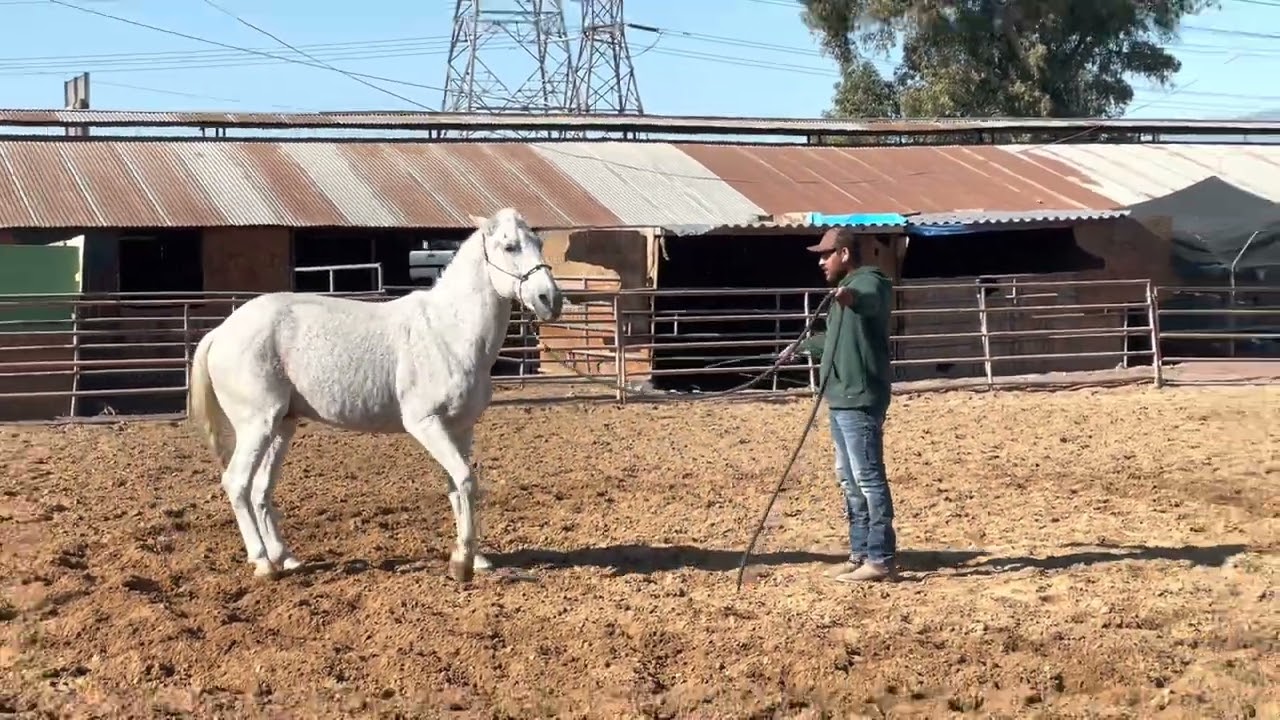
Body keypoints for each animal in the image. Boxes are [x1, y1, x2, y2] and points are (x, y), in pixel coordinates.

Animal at [185, 208, 564, 583]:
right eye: (509, 246)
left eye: (539, 242)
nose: (550, 299)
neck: (449, 331)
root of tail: (220, 332)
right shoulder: (426, 423)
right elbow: (466, 480)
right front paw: (462, 563)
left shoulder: (460, 428)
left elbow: (458, 486)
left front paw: (476, 557)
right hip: (257, 424)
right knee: (237, 483)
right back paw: (263, 563)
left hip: (282, 425)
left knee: (261, 489)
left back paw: (286, 558)